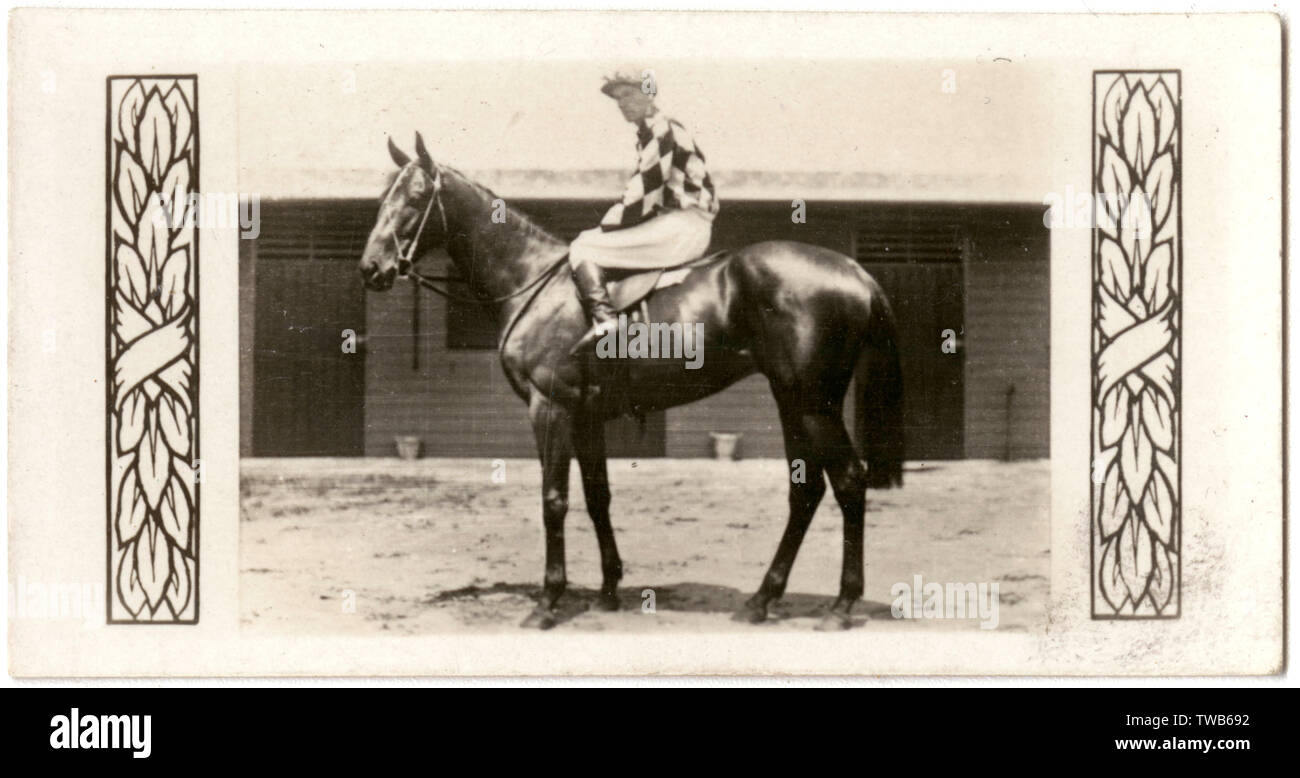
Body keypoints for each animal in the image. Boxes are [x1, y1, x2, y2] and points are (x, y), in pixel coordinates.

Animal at [359, 133, 905, 630]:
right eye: (383, 196)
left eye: (414, 197)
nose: (371, 269)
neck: (536, 282)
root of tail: (854, 270)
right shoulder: (586, 417)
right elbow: (597, 496)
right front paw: (607, 590)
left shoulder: (550, 408)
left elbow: (554, 501)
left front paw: (548, 601)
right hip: (791, 399)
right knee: (806, 490)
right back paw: (762, 599)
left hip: (815, 404)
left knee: (849, 482)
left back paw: (841, 605)